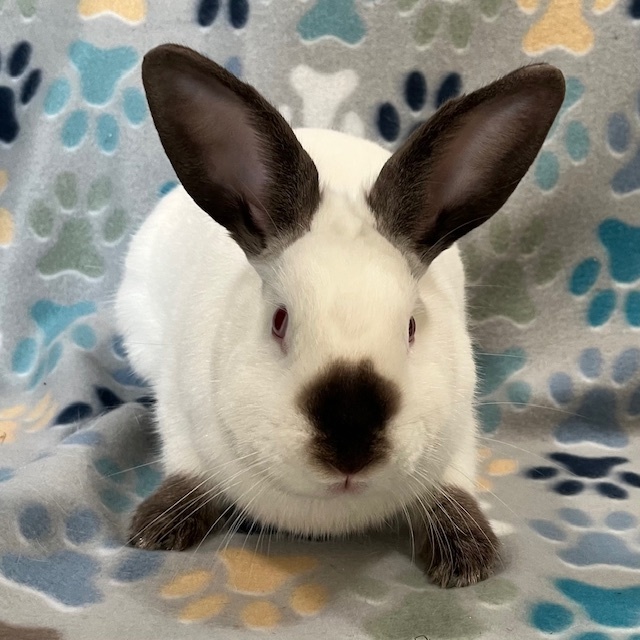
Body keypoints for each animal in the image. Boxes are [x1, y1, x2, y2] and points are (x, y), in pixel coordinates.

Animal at [115, 43, 565, 588]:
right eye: (279, 321)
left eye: (411, 327)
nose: (350, 446)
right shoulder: (177, 407)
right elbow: (186, 467)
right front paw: (155, 529)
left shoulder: (460, 426)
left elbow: (455, 482)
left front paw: (468, 557)